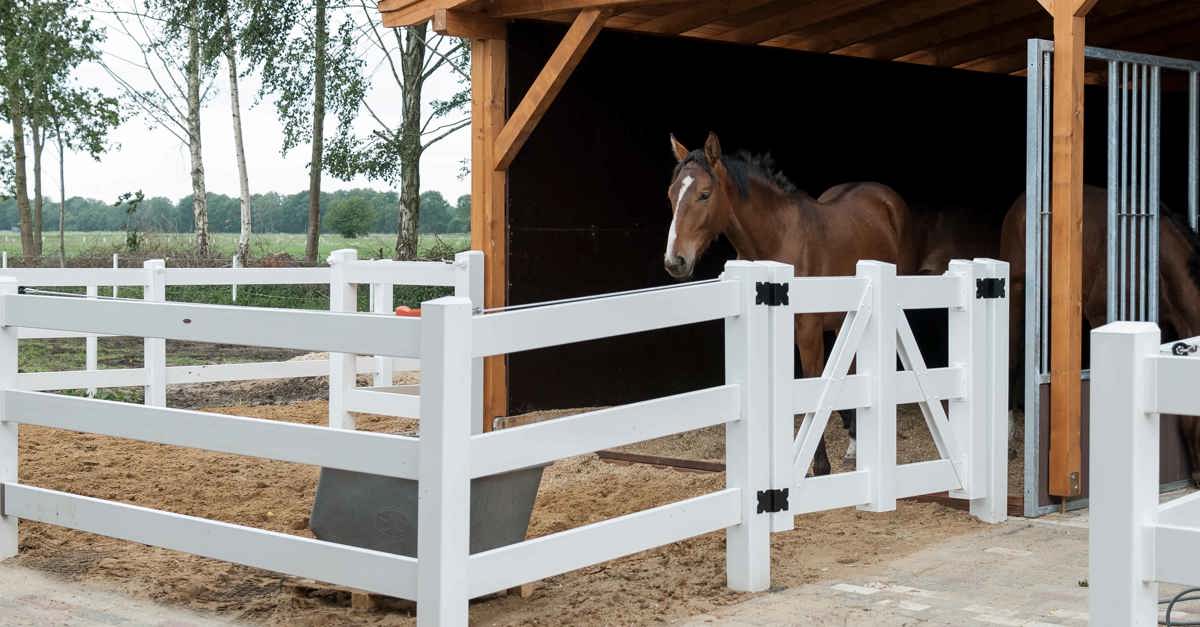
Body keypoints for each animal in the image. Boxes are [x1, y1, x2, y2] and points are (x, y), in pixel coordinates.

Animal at [664, 131, 915, 475]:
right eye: (671, 194)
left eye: (704, 194)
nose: (675, 261)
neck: (778, 239)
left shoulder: (807, 332)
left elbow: (811, 386)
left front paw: (819, 466)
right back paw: (854, 443)